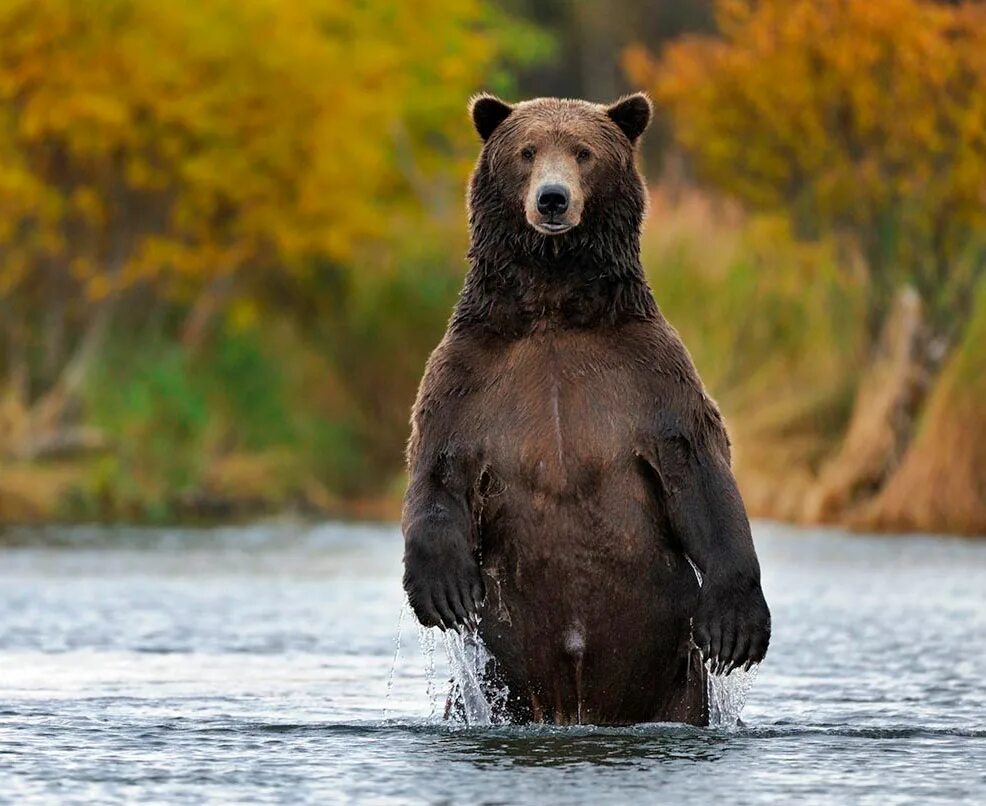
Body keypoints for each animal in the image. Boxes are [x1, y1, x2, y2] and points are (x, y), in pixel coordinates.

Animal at [400, 93, 768, 724]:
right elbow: (437, 466)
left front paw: (737, 627)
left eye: (583, 152)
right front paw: (444, 591)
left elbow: (698, 467)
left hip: (676, 677)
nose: (552, 198)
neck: (553, 303)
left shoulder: (650, 375)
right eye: (527, 151)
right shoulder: (468, 376)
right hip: (495, 678)